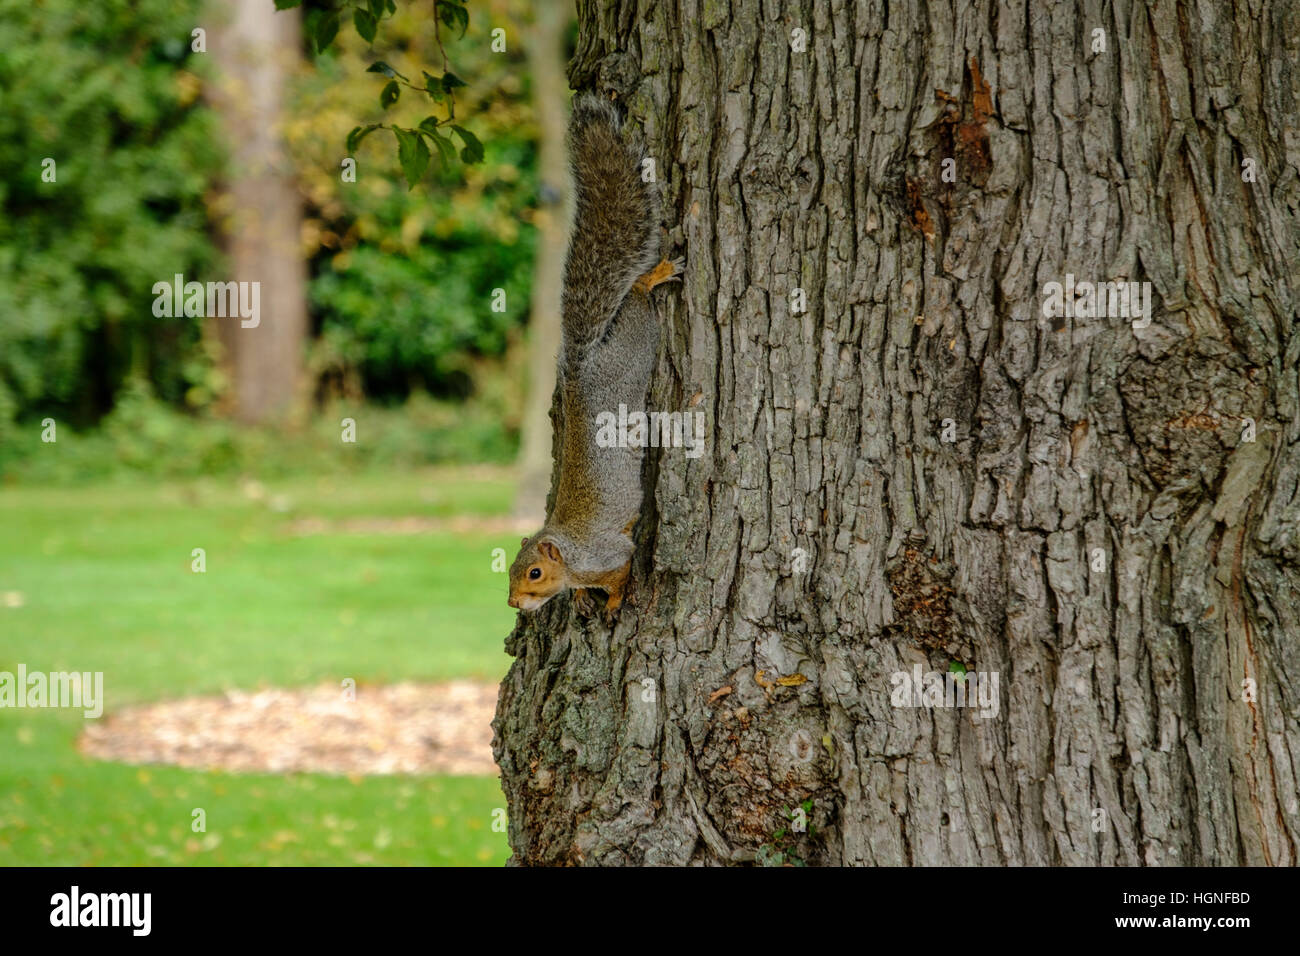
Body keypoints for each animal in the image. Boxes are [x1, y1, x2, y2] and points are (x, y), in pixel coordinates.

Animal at [508, 92, 681, 624]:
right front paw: (584, 598)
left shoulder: (612, 552)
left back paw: (653, 277)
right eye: (508, 571)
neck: (573, 556)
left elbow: (623, 571)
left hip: (636, 348)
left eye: (535, 573)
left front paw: (616, 599)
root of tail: (582, 369)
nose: (514, 603)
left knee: (639, 301)